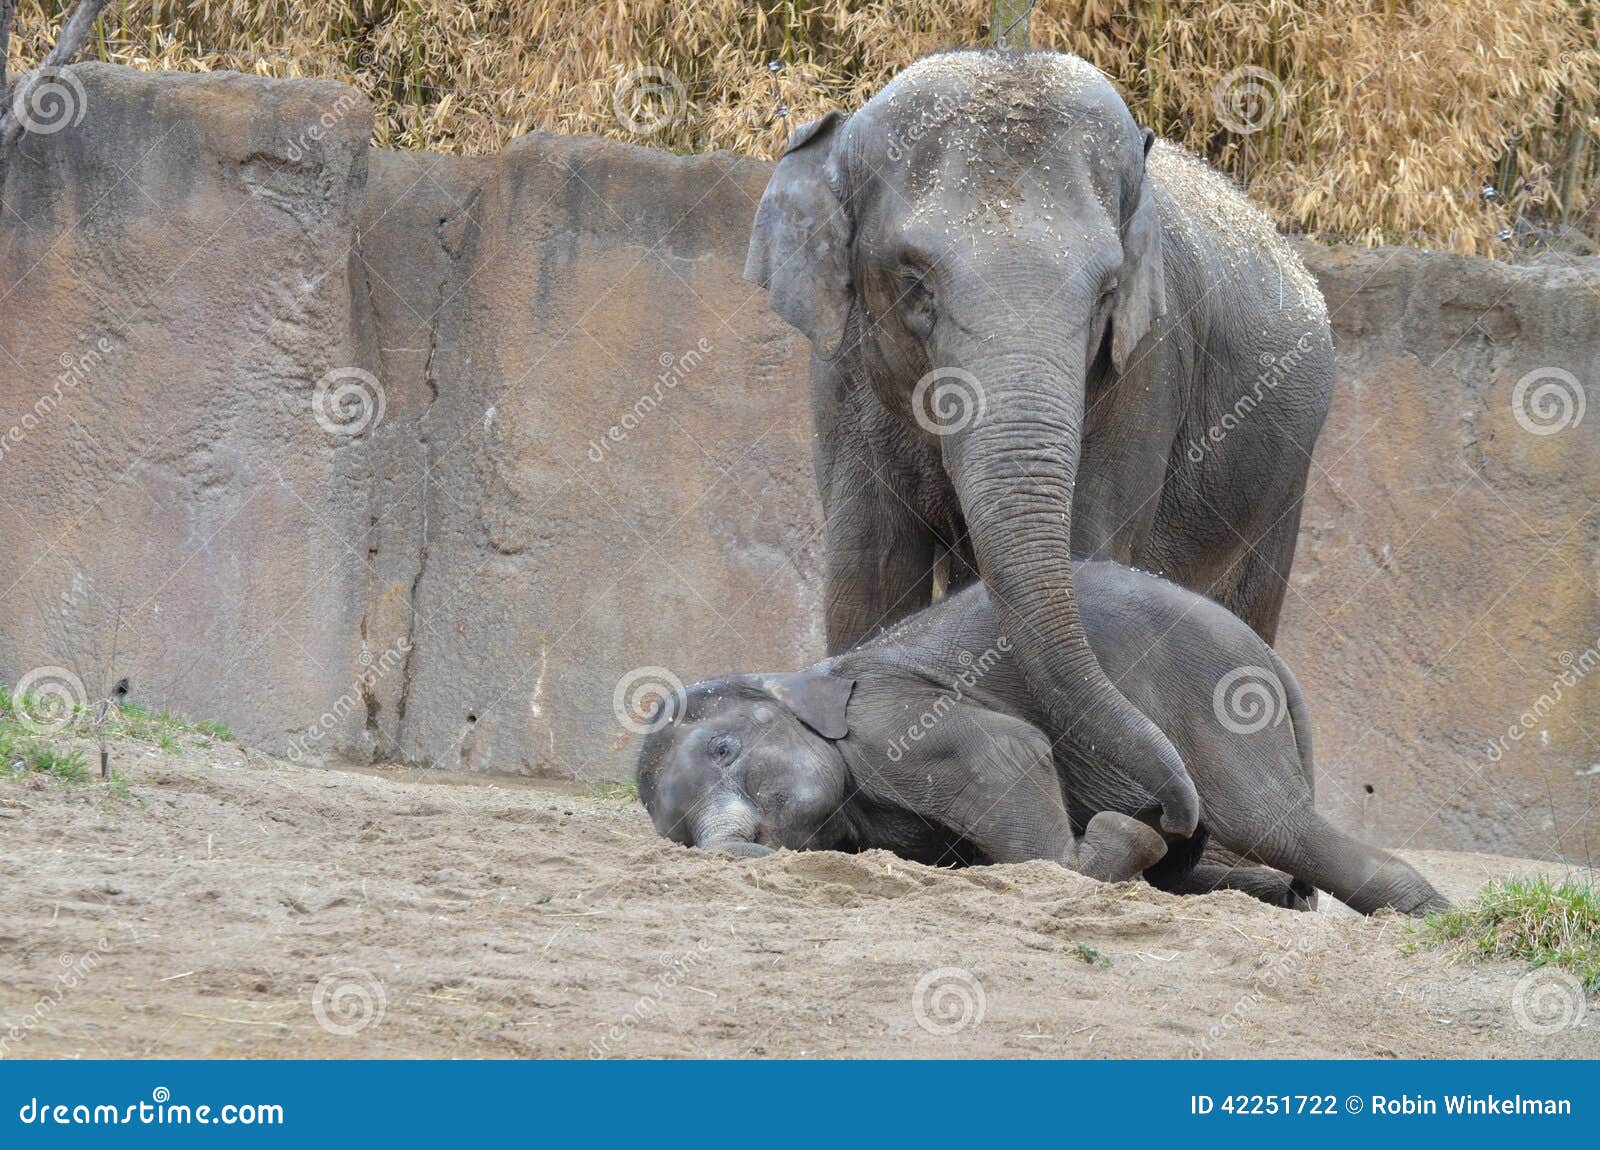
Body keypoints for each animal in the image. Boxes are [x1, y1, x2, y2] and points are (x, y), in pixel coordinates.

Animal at [635, 560, 1449, 916]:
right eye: (677, 830)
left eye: (725, 753)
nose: (739, 845)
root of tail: (1271, 656)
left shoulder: (899, 724)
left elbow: (1020, 779)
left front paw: (1123, 834)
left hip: (1214, 694)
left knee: (1265, 821)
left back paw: (1427, 914)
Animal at [744, 49, 1335, 841]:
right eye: (913, 280)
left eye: (1109, 291)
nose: (1176, 815)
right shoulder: (841, 368)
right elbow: (870, 566)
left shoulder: (1148, 364)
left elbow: (1086, 549)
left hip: (1284, 477)